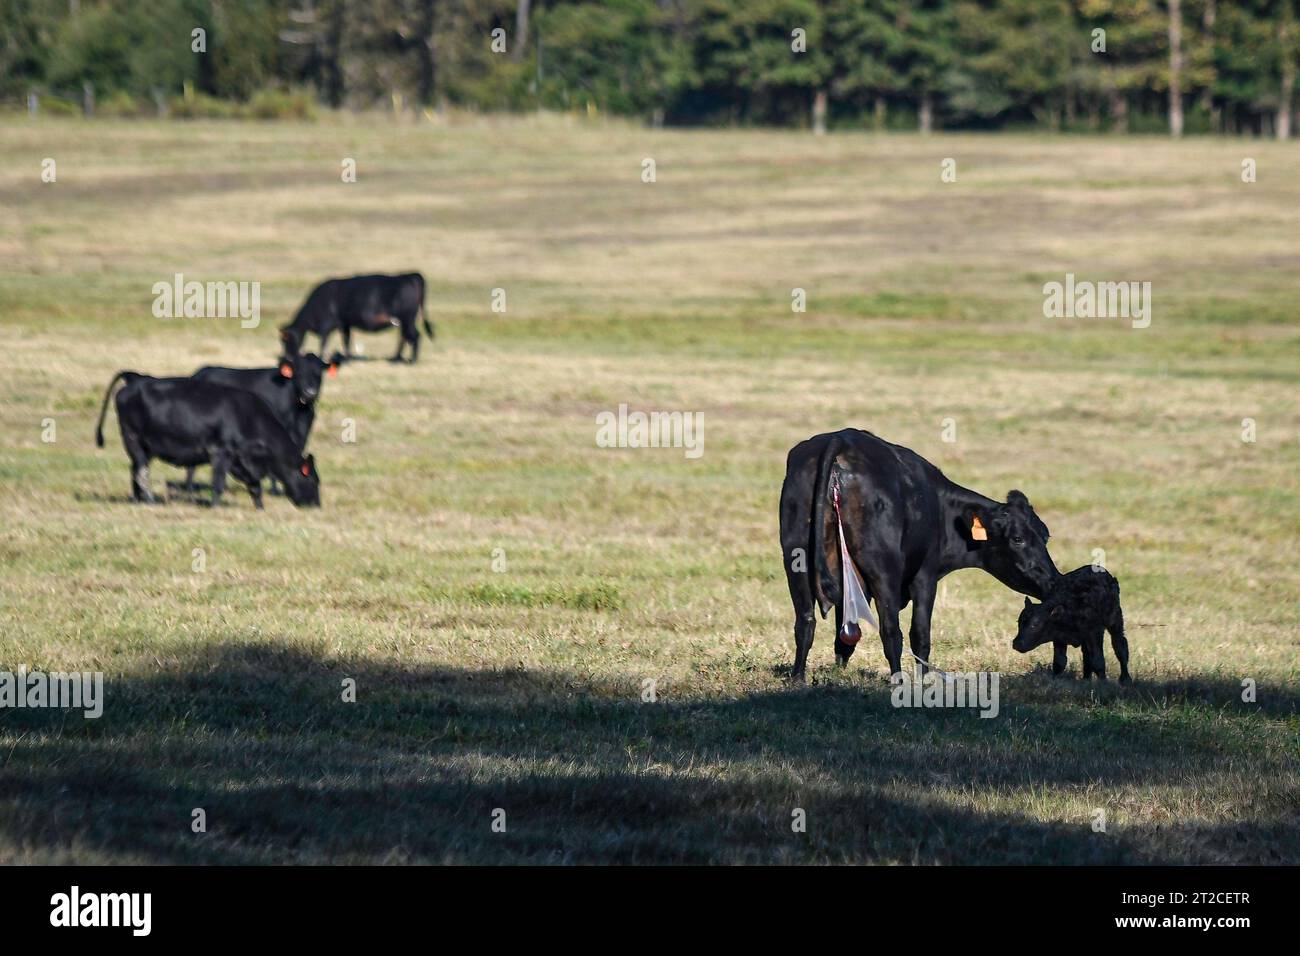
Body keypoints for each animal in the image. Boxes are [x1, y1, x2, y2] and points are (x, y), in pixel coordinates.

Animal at [94, 372, 321, 509]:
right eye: (312, 480)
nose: (316, 505)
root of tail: (136, 380)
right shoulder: (221, 452)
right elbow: (218, 483)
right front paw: (215, 507)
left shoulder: (242, 461)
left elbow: (255, 486)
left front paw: (260, 508)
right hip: (133, 439)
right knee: (141, 473)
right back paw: (150, 501)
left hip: (143, 446)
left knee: (134, 471)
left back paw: (138, 500)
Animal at [184, 351, 340, 494]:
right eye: (299, 372)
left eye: (319, 373)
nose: (310, 392)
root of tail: (201, 372)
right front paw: (275, 490)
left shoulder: (303, 432)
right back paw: (190, 488)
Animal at [279, 273, 431, 363]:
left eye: (285, 339)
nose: (288, 358)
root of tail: (409, 275)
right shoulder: (345, 325)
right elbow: (346, 341)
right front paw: (347, 358)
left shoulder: (326, 326)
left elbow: (323, 343)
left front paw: (322, 358)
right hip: (405, 321)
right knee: (404, 337)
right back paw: (396, 358)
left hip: (407, 319)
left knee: (415, 336)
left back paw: (412, 361)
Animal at [779, 428, 1059, 680]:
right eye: (1018, 539)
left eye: (1045, 535)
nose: (1053, 581)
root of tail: (840, 440)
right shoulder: (925, 576)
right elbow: (920, 633)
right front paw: (924, 679)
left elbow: (845, 633)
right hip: (883, 567)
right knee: (891, 630)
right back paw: (898, 680)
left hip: (797, 558)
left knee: (805, 621)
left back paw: (798, 677)